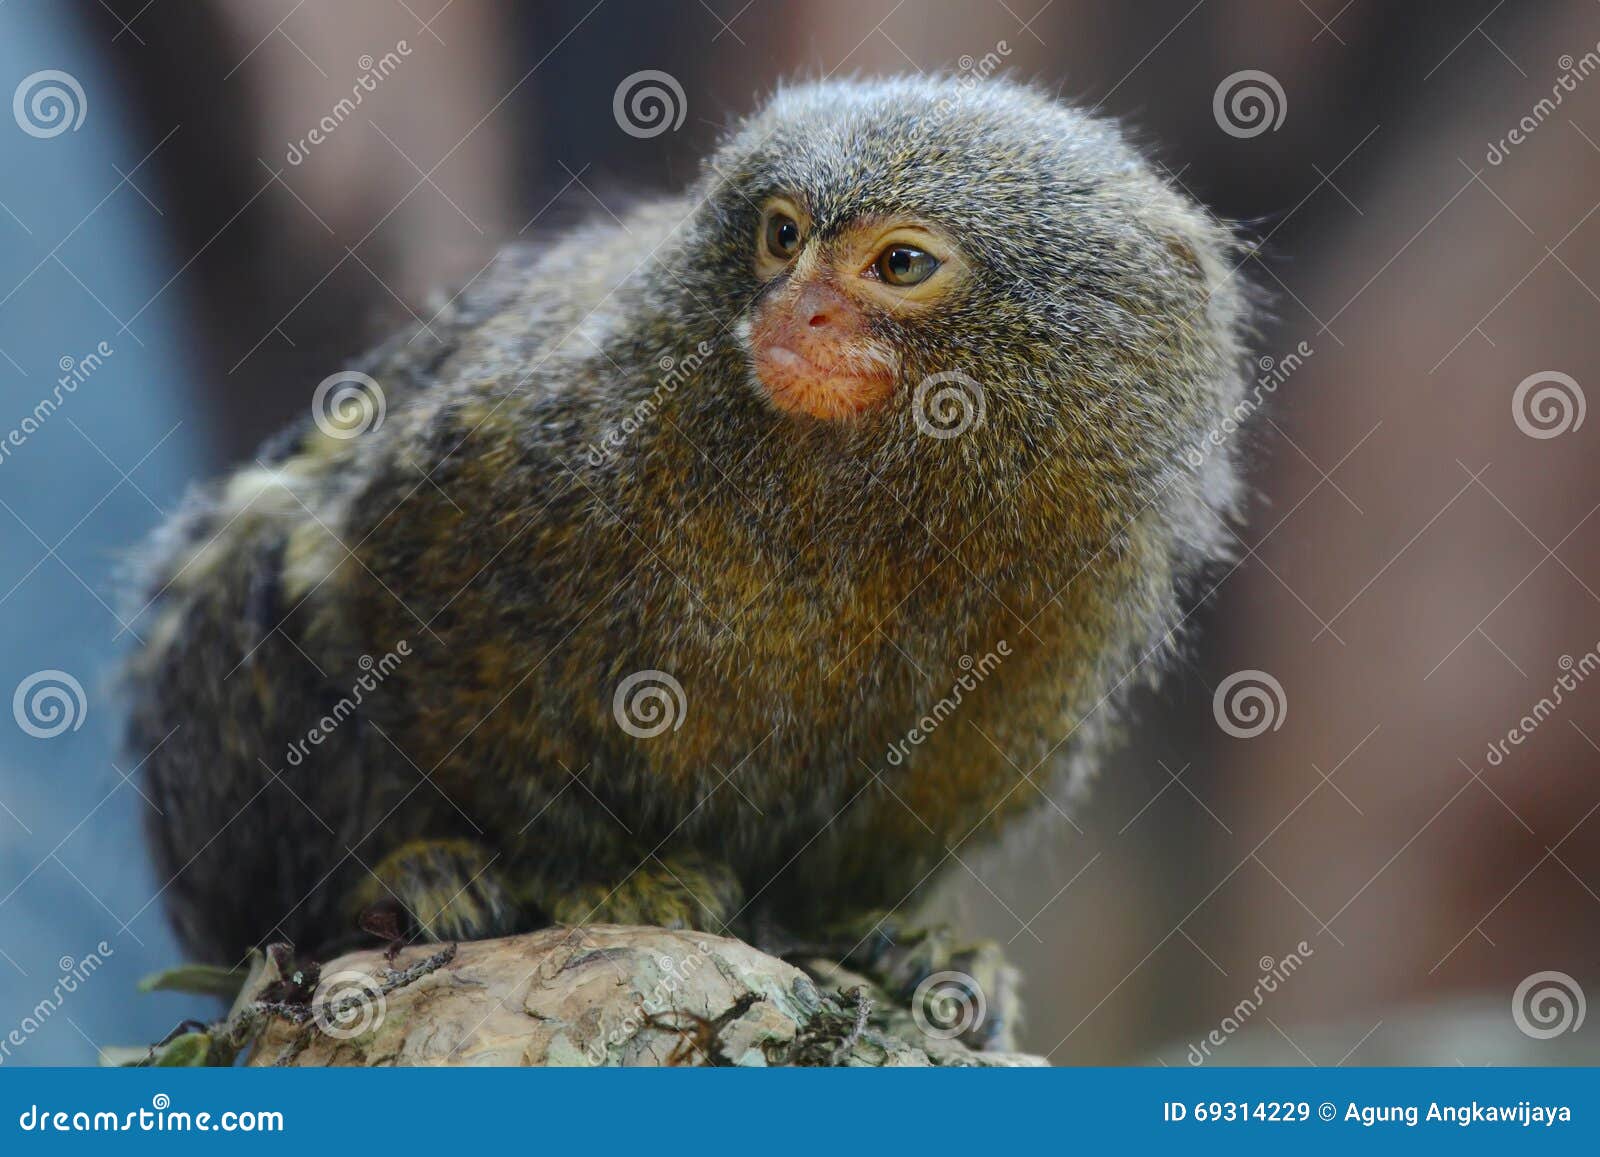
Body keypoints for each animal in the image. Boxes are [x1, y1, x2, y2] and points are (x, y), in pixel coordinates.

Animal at [125, 76, 1252, 1052]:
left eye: (898, 266)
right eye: (782, 236)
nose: (795, 311)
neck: (864, 497)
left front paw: (897, 933)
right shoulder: (517, 447)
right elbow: (372, 595)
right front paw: (607, 871)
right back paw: (407, 871)